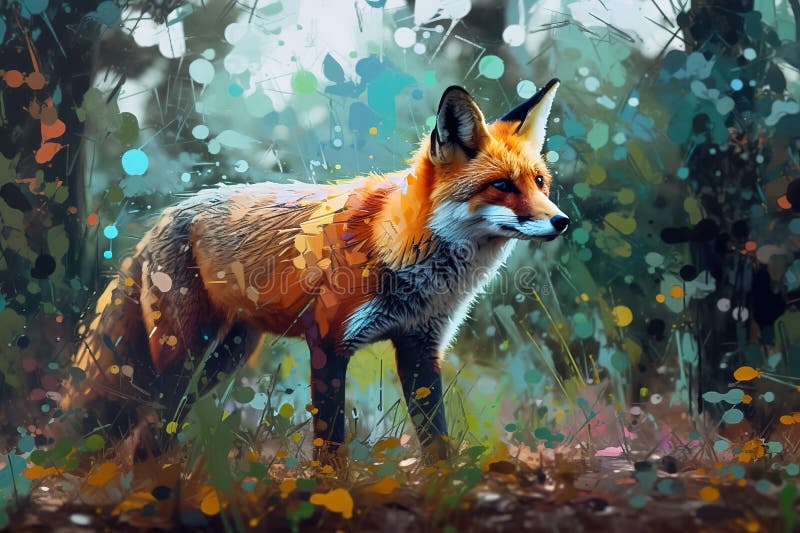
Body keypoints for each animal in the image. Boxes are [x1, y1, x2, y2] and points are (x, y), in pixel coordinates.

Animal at [61, 79, 568, 462]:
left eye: (539, 182)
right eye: (501, 186)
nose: (561, 221)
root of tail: (167, 214)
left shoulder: (421, 348)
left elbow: (437, 445)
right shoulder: (326, 343)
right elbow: (331, 449)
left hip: (224, 358)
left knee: (151, 431)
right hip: (183, 359)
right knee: (146, 432)